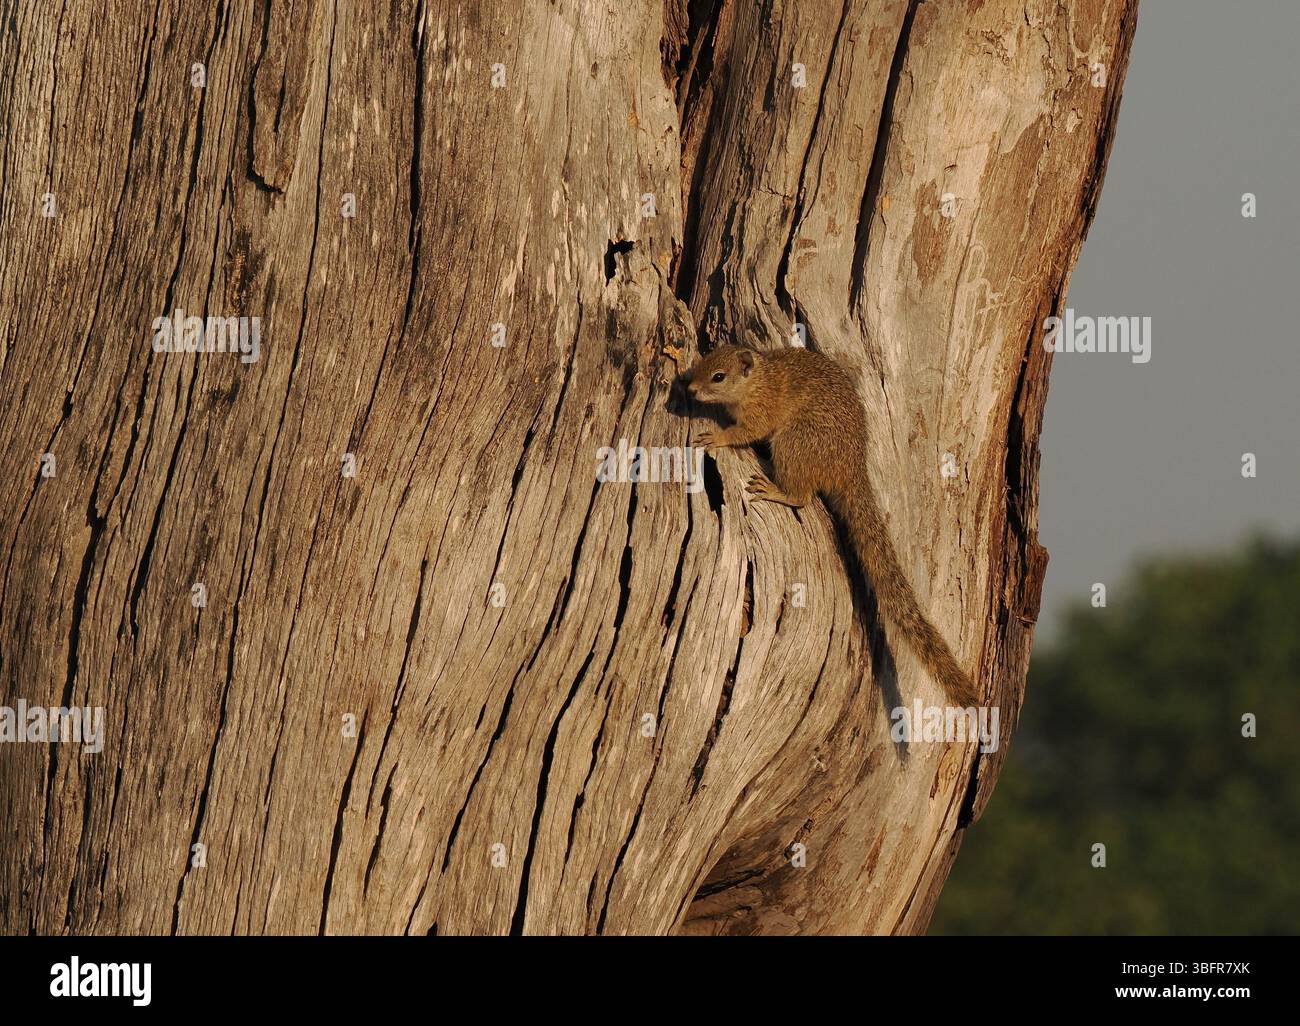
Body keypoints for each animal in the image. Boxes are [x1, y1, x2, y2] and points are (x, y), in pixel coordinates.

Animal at [686, 343, 980, 708]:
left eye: (719, 377)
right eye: (703, 362)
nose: (691, 389)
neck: (757, 381)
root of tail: (851, 468)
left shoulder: (761, 410)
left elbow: (746, 432)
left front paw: (718, 436)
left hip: (796, 441)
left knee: (802, 496)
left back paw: (775, 490)